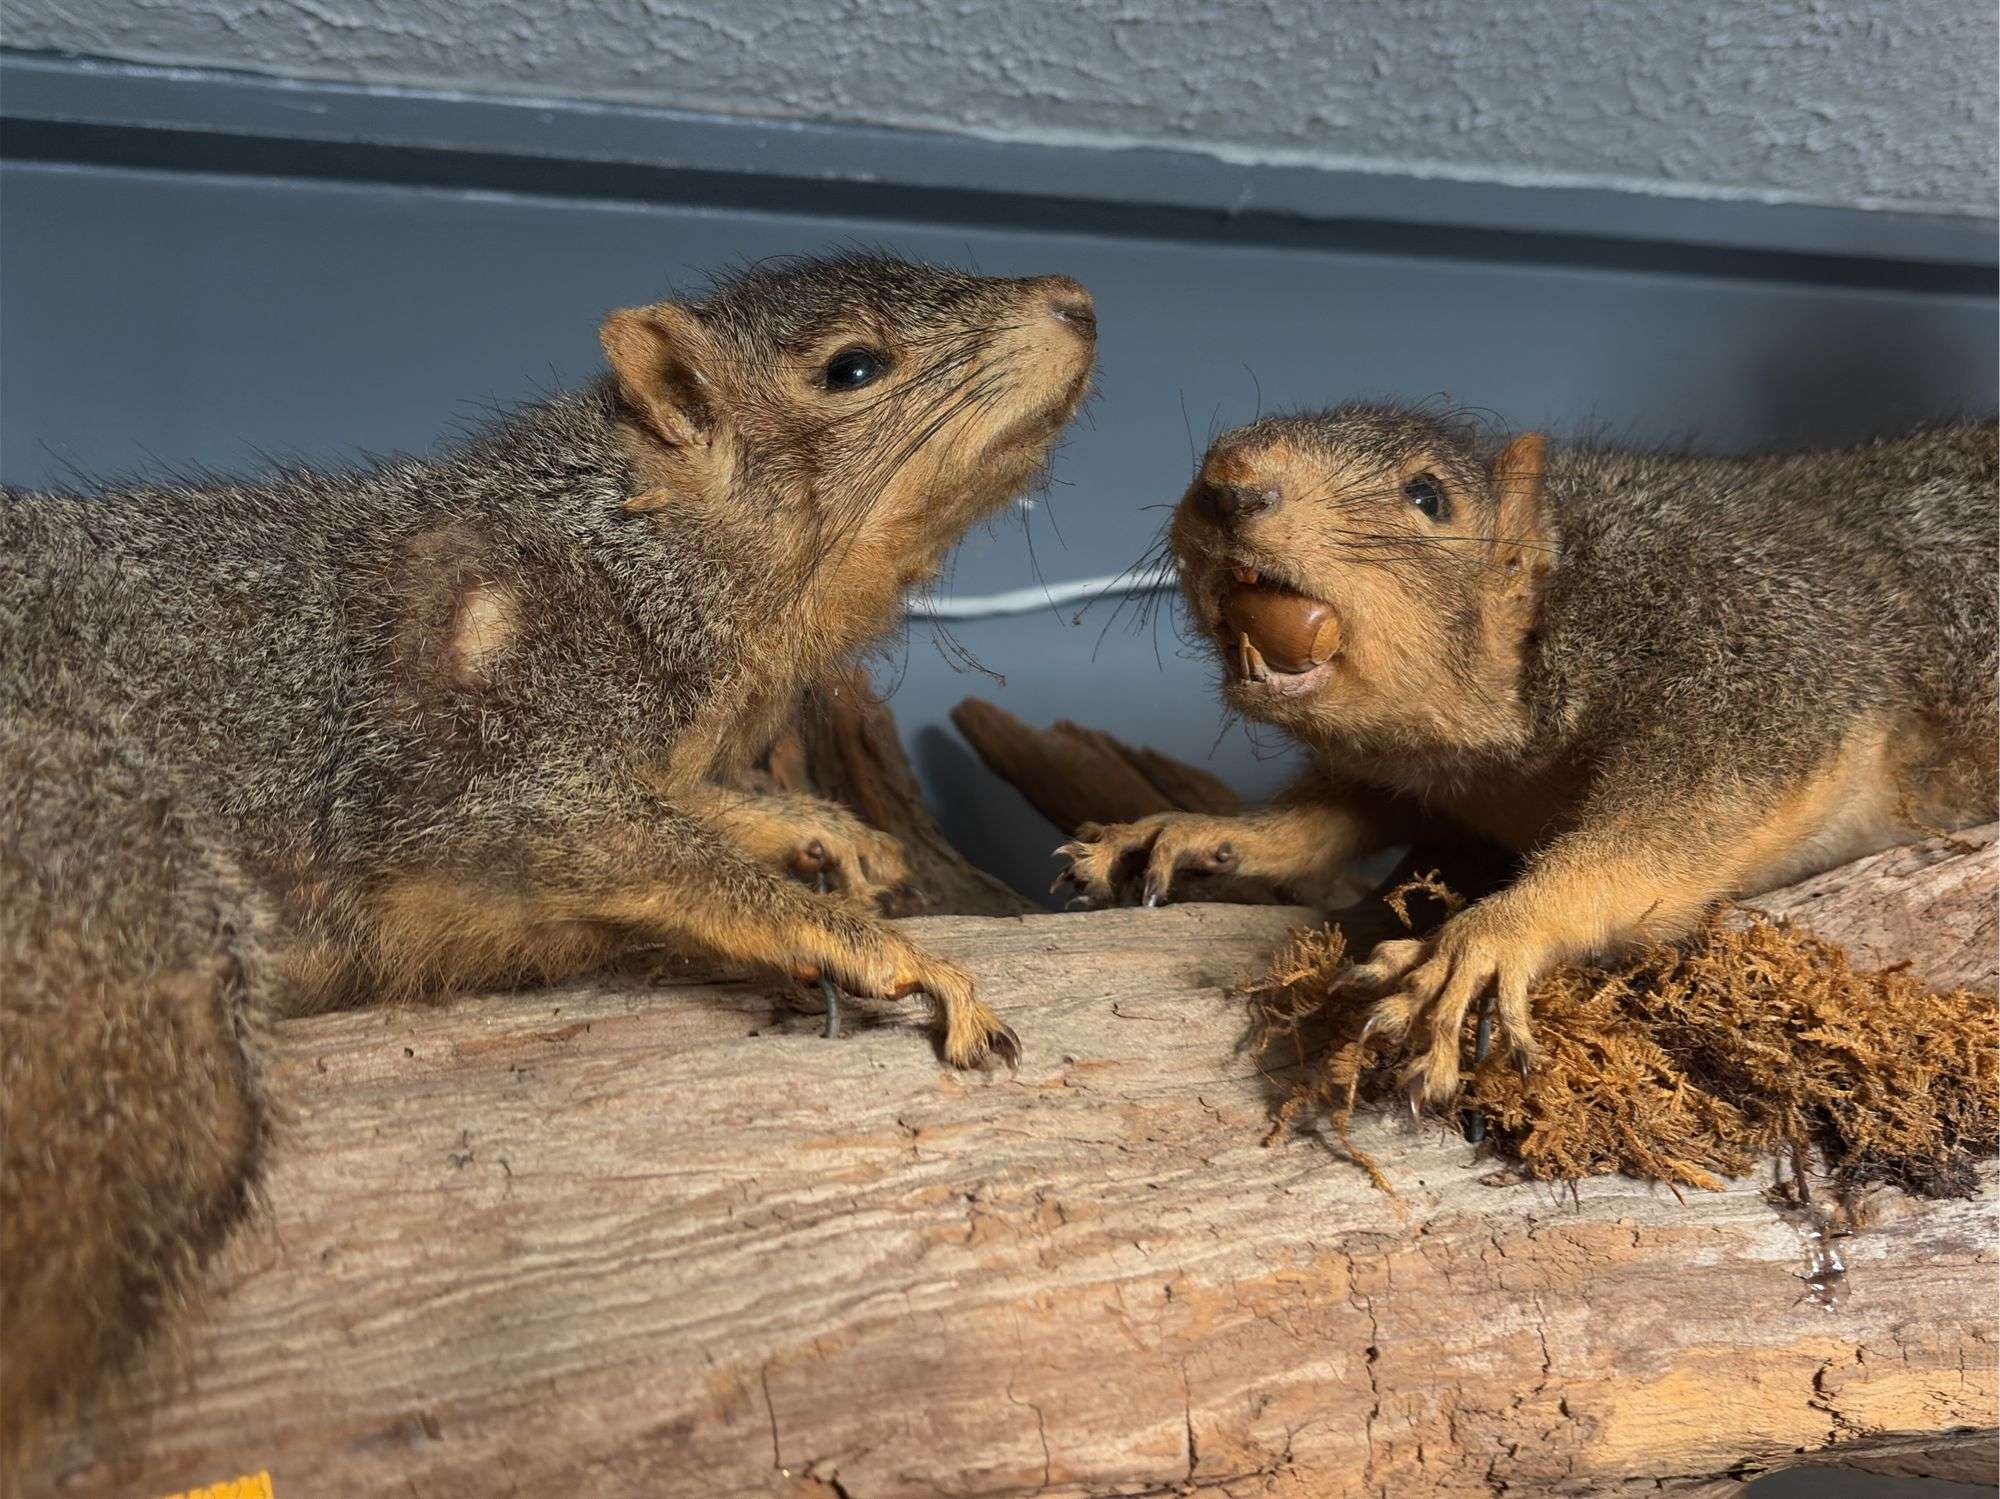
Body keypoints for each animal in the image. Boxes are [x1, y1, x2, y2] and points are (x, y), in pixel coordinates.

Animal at [0, 253, 1096, 1470]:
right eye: (852, 366)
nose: (1077, 302)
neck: (624, 551)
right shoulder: (493, 767)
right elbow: (628, 845)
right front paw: (879, 951)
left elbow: (698, 807)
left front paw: (822, 832)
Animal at [1060, 405, 1997, 1104]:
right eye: (1207, 455)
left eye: (1429, 496)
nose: (1228, 487)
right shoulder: (1435, 769)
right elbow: (1337, 811)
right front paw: (1208, 830)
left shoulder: (1766, 657)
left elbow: (1676, 824)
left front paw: (1491, 933)